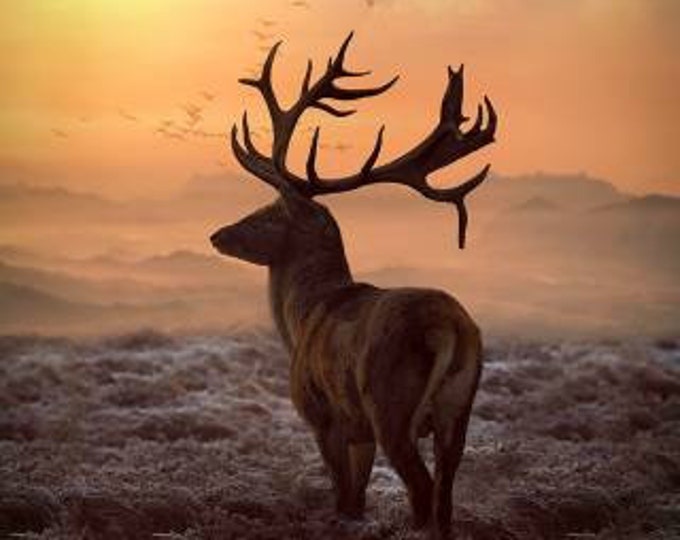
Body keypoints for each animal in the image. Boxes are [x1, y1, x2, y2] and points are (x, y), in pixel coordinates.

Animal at [210, 33, 496, 539]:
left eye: (268, 213)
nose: (217, 235)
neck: (302, 316)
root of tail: (449, 328)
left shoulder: (325, 417)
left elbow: (343, 499)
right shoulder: (360, 433)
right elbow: (358, 500)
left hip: (390, 406)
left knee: (422, 490)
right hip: (457, 409)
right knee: (445, 499)